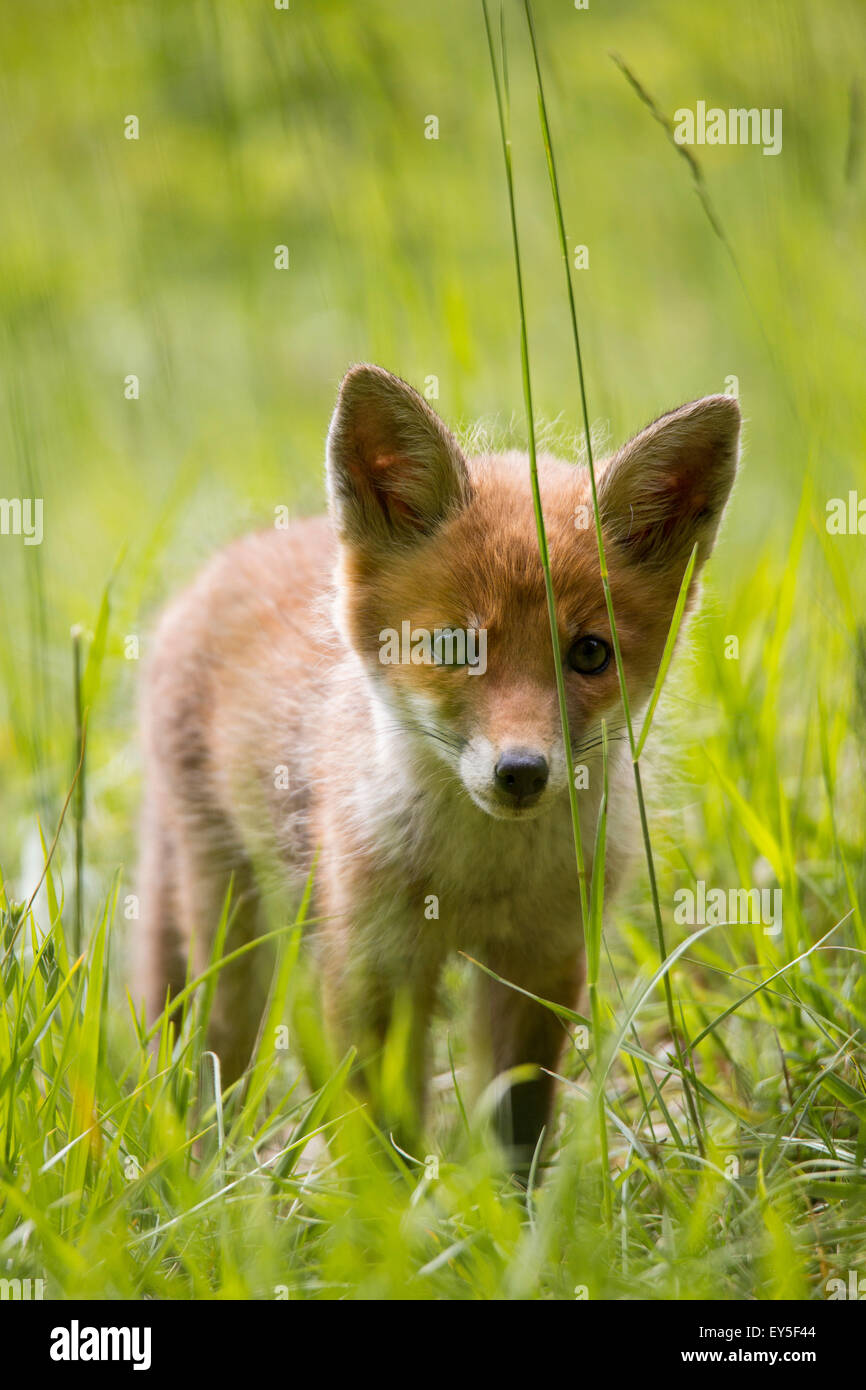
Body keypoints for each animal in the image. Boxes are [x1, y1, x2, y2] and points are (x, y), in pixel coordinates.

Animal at [136, 364, 741, 1164]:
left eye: (590, 653)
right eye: (456, 647)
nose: (521, 771)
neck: (478, 876)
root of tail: (225, 562)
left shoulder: (543, 962)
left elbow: (517, 1125)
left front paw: (512, 1203)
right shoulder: (372, 964)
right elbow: (381, 1137)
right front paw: (388, 1201)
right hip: (226, 920)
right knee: (213, 1050)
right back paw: (204, 1164)